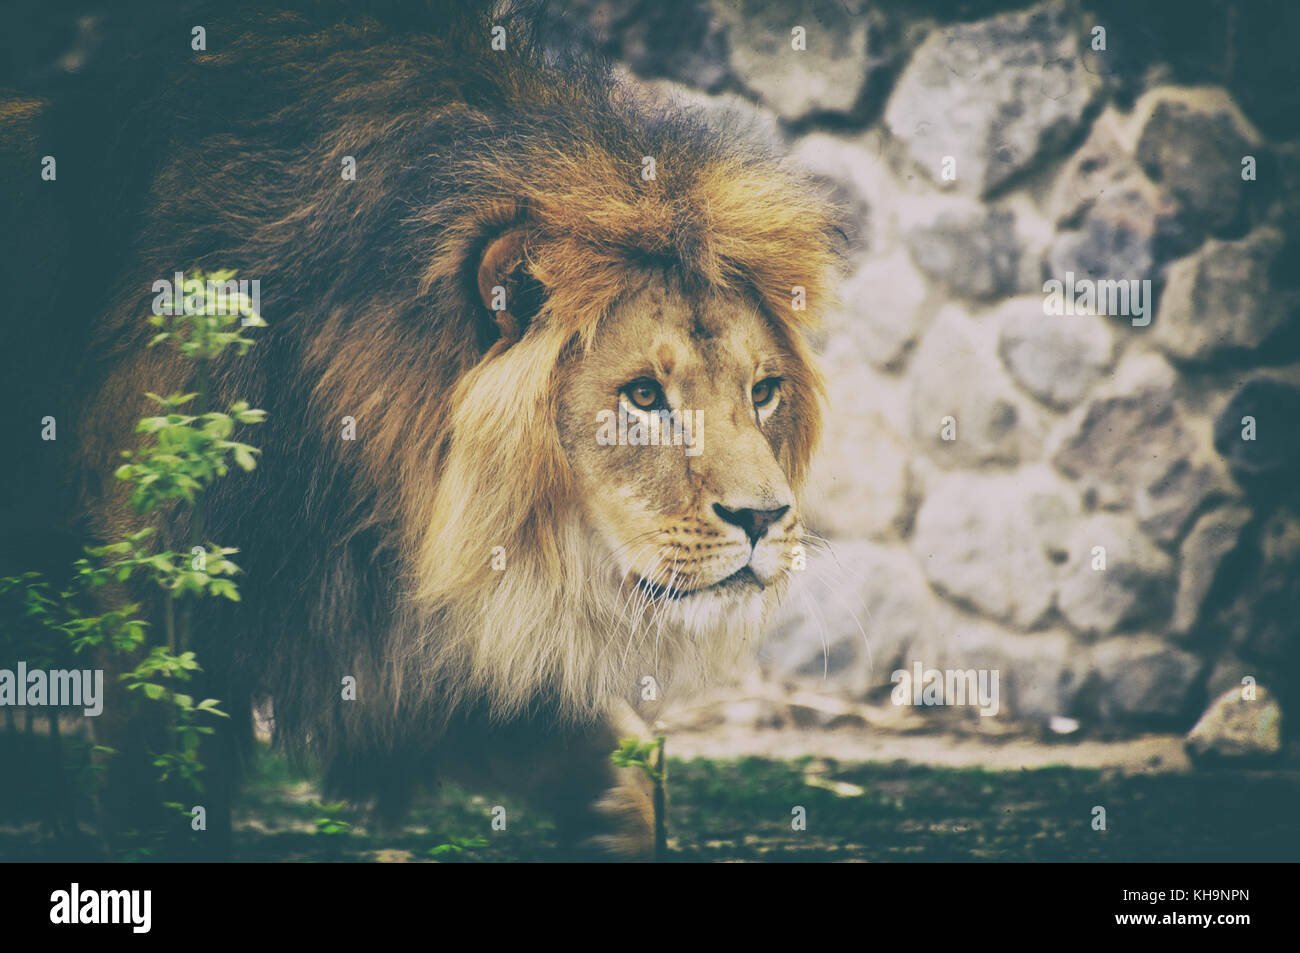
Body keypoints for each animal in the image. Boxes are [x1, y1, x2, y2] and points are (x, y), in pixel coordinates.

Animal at [0, 1, 839, 858]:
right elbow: (157, 804)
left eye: (763, 391)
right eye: (642, 394)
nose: (764, 517)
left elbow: (626, 777)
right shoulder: (153, 610)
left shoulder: (401, 644)